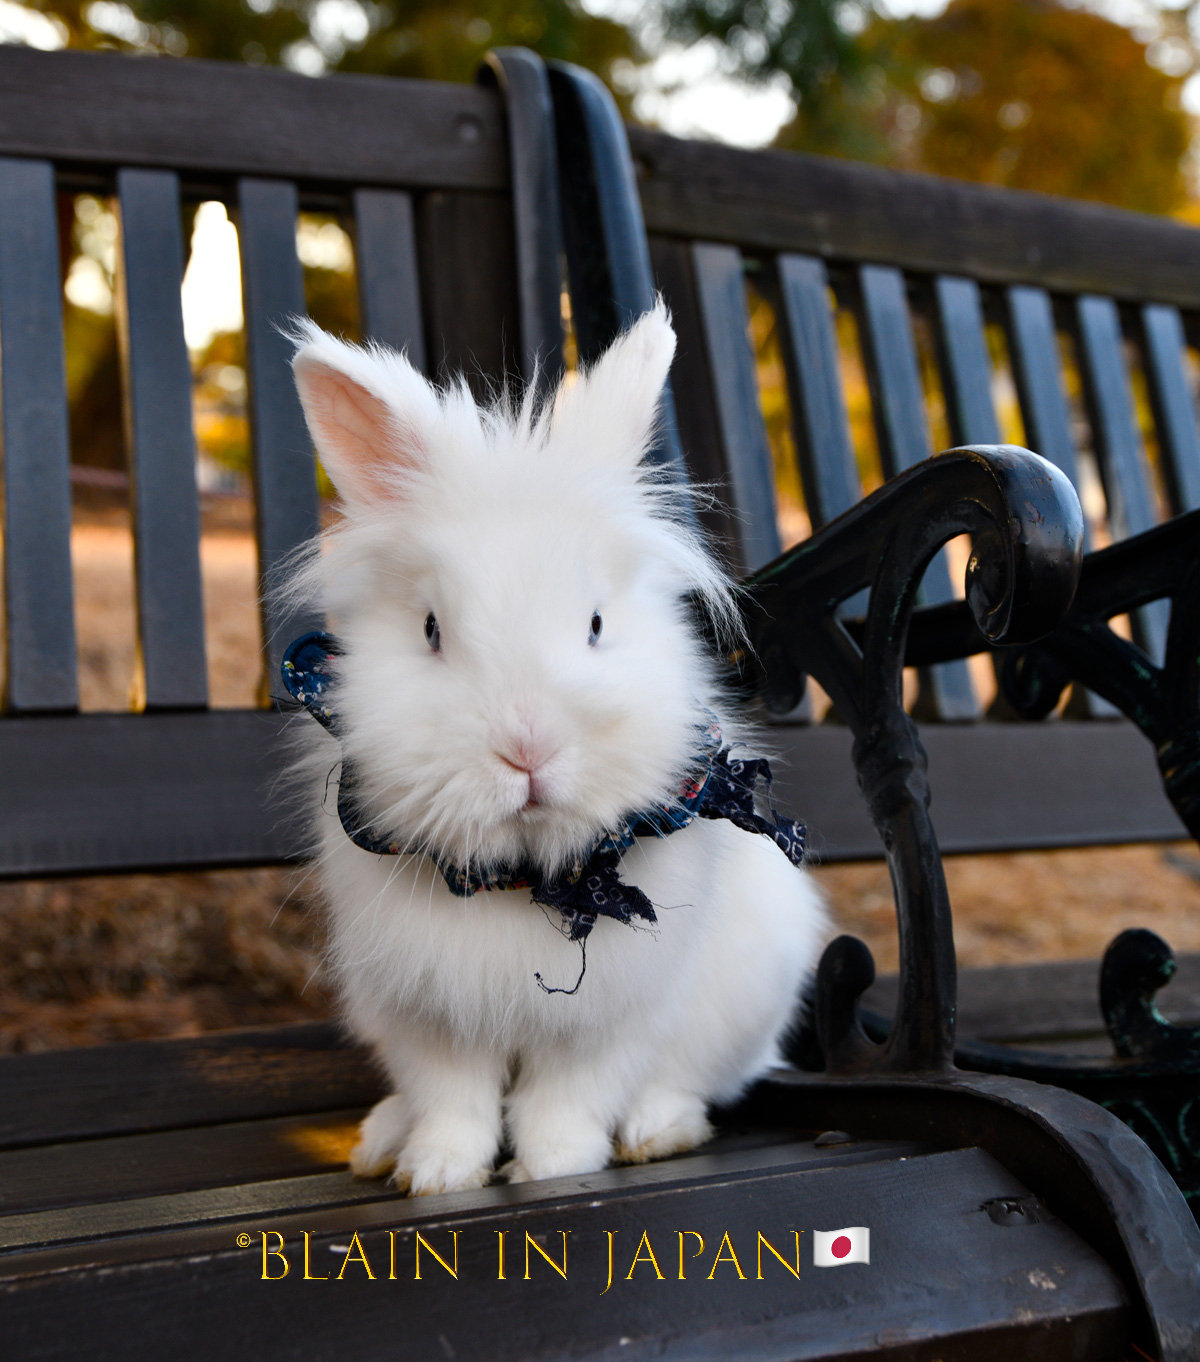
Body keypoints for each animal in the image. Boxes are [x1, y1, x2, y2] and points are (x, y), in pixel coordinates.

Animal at [280, 302, 830, 1196]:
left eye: (597, 623)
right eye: (431, 630)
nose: (527, 746)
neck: (530, 879)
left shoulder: (614, 1015)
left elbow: (569, 1097)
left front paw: (553, 1171)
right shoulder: (427, 1016)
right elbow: (452, 1099)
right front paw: (438, 1174)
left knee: (692, 1082)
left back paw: (656, 1131)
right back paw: (382, 1142)